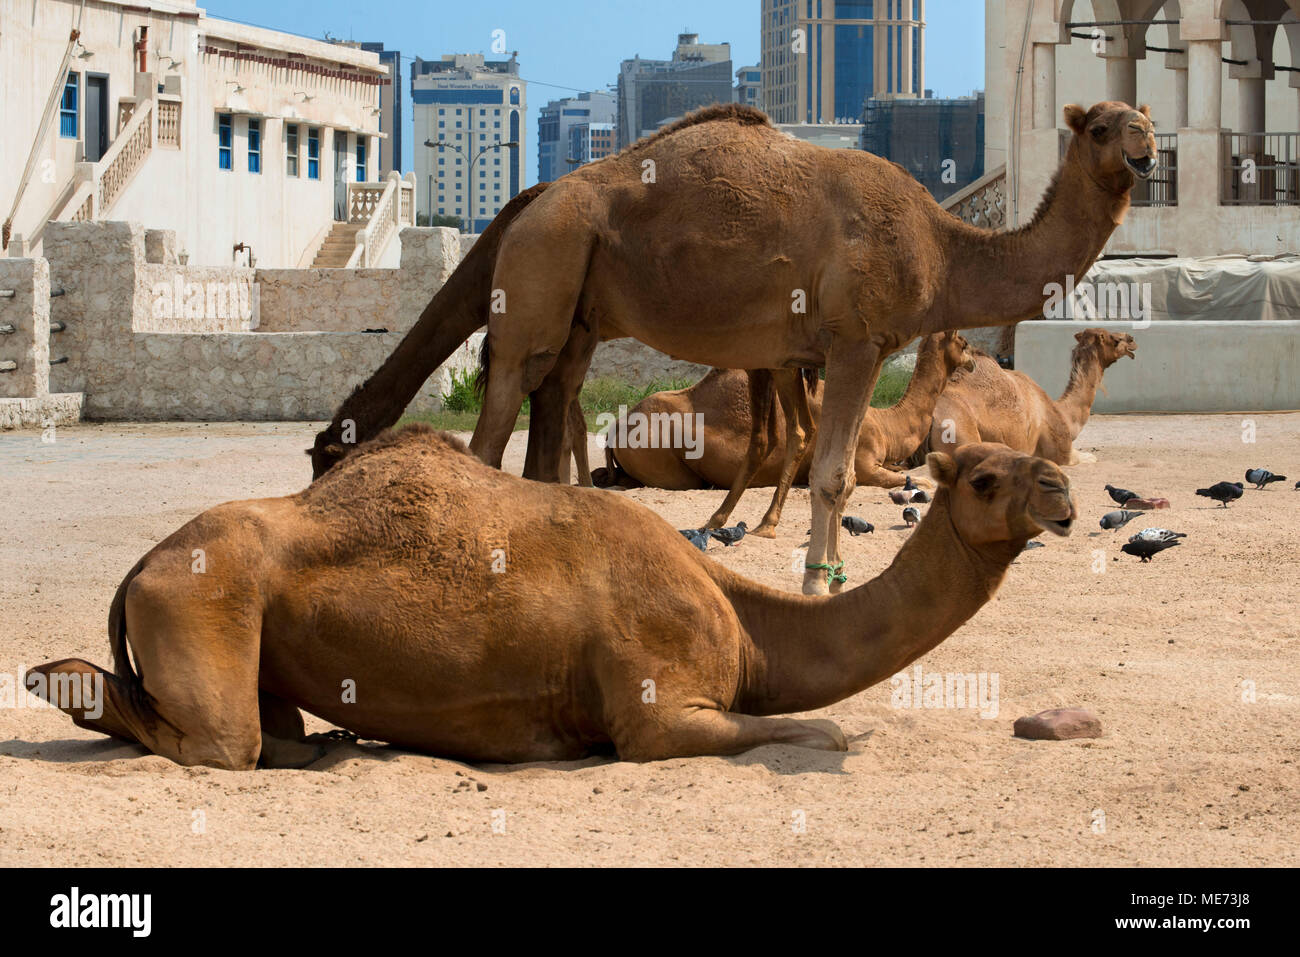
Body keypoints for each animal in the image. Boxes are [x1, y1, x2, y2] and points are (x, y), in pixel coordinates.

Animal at [26, 428, 1075, 769]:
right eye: (985, 477)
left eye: (1033, 459)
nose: (1063, 489)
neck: (746, 622)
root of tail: (141, 563)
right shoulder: (660, 710)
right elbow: (814, 730)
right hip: (204, 598)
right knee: (217, 739)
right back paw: (53, 680)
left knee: (272, 736)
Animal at [603, 332, 976, 537]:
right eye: (965, 342)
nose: (974, 362)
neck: (885, 424)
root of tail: (614, 430)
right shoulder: (866, 464)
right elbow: (912, 478)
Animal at [924, 328, 1137, 466]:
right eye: (1113, 338)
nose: (1131, 339)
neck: (1062, 413)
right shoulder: (1062, 453)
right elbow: (1090, 457)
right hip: (959, 432)